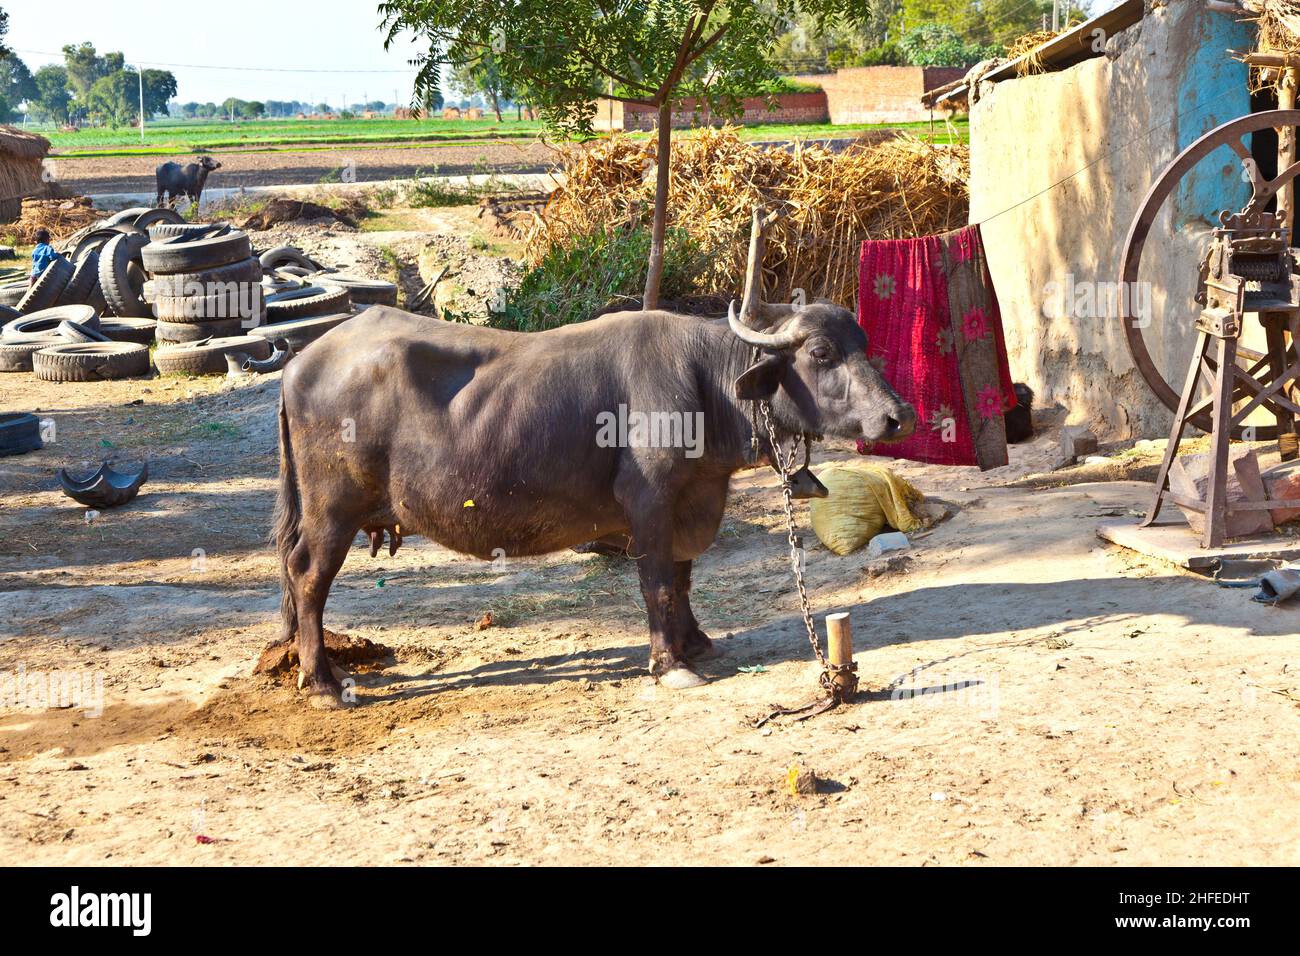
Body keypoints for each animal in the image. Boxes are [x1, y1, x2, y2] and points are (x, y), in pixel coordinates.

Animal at [274, 207, 916, 708]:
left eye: (863, 343)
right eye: (821, 351)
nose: (898, 416)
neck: (705, 384)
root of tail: (302, 361)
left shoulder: (692, 499)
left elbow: (684, 575)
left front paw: (695, 642)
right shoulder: (649, 503)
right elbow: (657, 581)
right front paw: (669, 664)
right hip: (333, 509)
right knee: (307, 574)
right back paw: (323, 680)